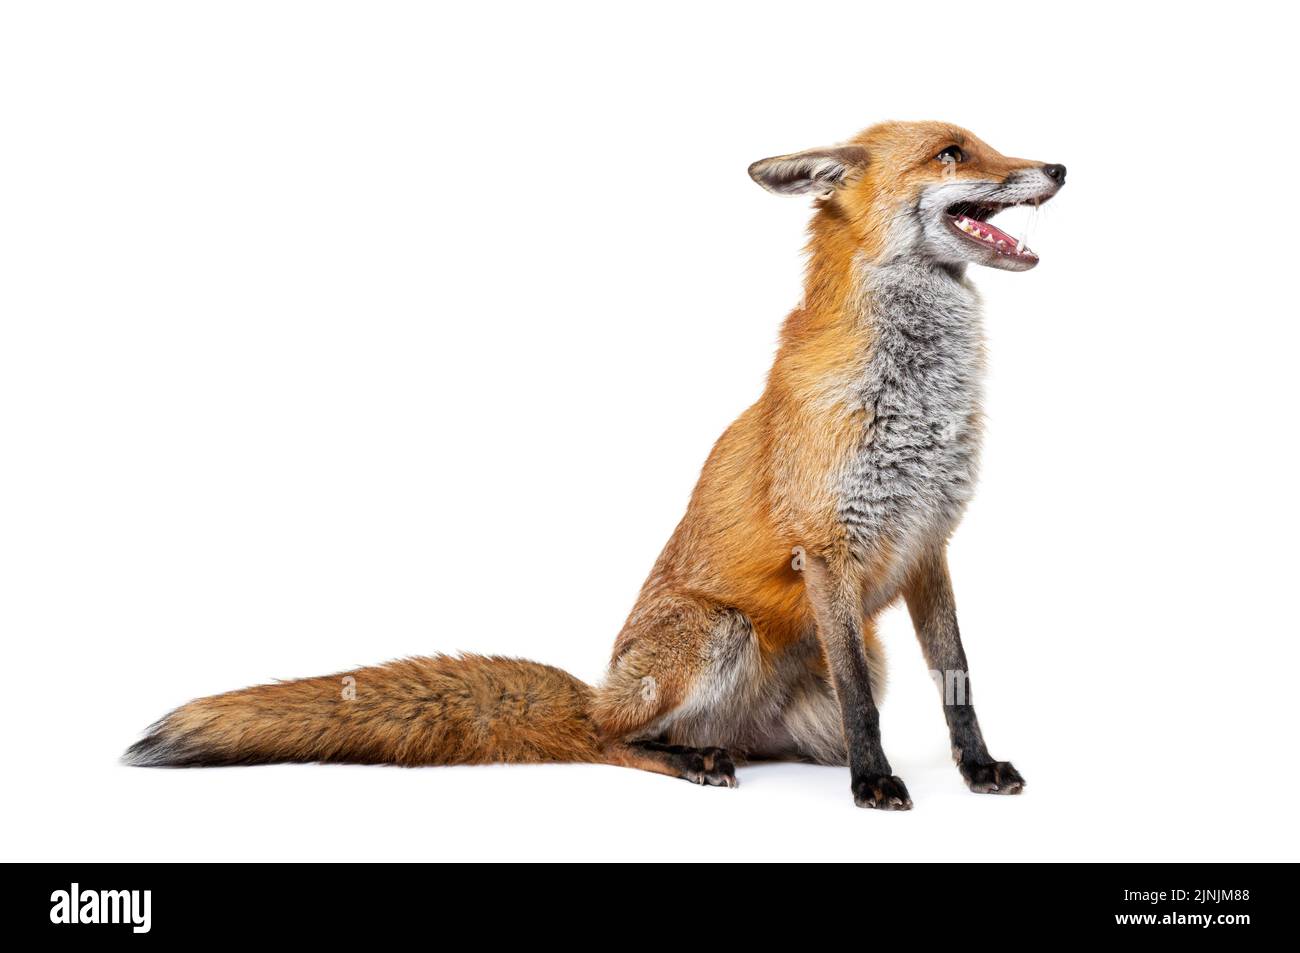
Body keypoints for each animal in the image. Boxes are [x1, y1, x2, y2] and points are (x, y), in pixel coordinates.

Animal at [125, 120, 1065, 810]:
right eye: (953, 153)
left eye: (980, 142)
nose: (1057, 165)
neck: (916, 395)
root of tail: (599, 689)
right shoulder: (830, 546)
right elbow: (869, 709)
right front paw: (875, 782)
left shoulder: (929, 544)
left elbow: (959, 681)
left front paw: (978, 770)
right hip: (715, 633)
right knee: (610, 741)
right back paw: (689, 762)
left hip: (833, 674)